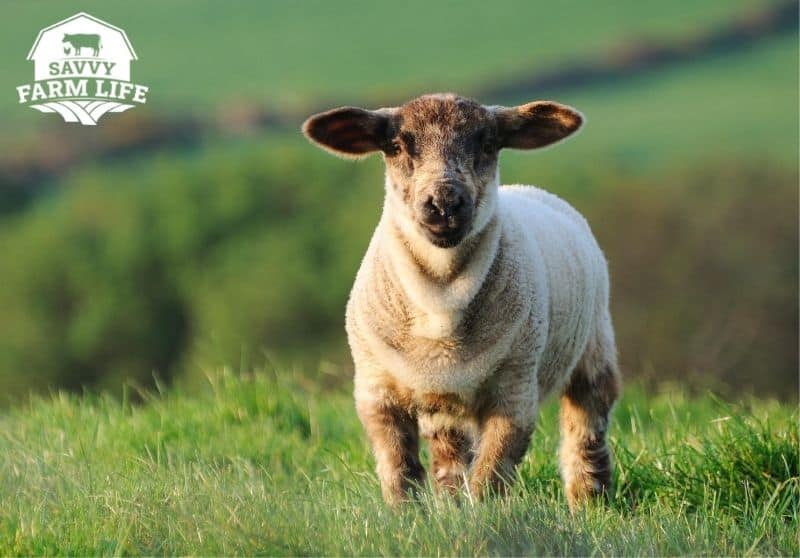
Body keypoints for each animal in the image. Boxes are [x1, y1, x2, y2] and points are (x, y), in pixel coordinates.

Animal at [302, 93, 620, 509]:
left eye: (488, 144)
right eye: (396, 146)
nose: (444, 203)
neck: (441, 299)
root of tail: (531, 189)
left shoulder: (515, 391)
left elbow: (491, 475)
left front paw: (483, 518)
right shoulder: (376, 391)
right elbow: (399, 470)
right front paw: (405, 516)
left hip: (594, 346)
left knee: (587, 425)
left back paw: (589, 500)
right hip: (443, 399)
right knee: (448, 453)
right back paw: (450, 501)